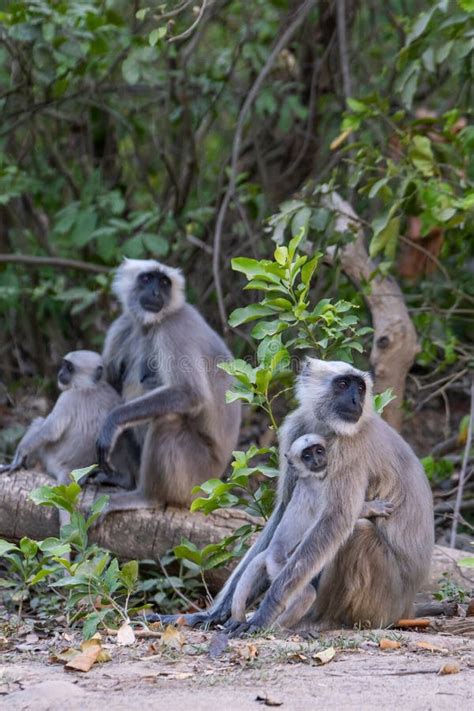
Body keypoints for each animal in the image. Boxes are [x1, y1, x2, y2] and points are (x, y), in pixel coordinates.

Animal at [91, 258, 241, 515]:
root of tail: (213, 487)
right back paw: (127, 480)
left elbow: (190, 393)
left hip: (194, 477)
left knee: (167, 419)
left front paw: (112, 422)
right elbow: (110, 383)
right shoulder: (124, 325)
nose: (155, 293)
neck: (151, 325)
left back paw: (146, 497)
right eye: (146, 279)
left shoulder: (174, 327)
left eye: (164, 283)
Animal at [231, 433, 394, 627]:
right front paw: (371, 508)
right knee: (306, 593)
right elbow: (338, 515)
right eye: (306, 456)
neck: (315, 477)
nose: (317, 461)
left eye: (319, 450)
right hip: (278, 564)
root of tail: (271, 549)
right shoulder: (319, 489)